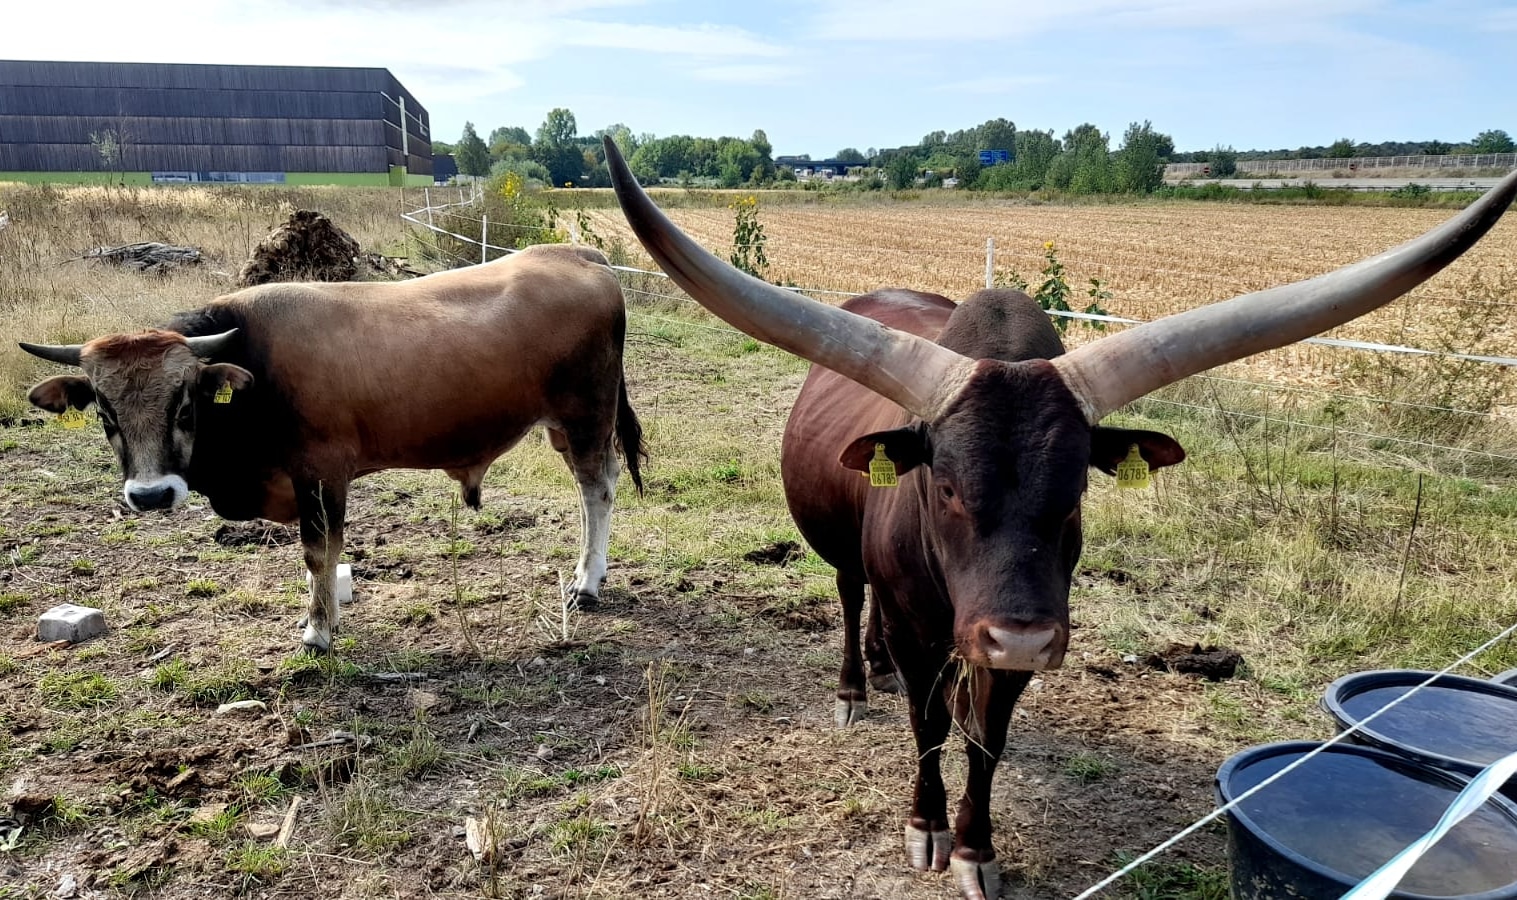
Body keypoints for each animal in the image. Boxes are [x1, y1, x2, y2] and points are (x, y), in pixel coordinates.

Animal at [20, 242, 646, 653]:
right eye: (105, 412)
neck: (258, 373)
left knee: (596, 489)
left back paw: (587, 583)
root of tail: (577, 256)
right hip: (569, 426)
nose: (151, 495)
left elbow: (318, 552)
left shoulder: (321, 474)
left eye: (185, 404)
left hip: (586, 416)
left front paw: (317, 631)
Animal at [604, 136, 1517, 900]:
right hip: (850, 566)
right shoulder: (920, 622)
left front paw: (975, 847)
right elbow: (927, 726)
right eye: (943, 485)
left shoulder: (1008, 645)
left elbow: (984, 736)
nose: (1020, 636)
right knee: (850, 598)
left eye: (1076, 486)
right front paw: (925, 827)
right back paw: (856, 684)